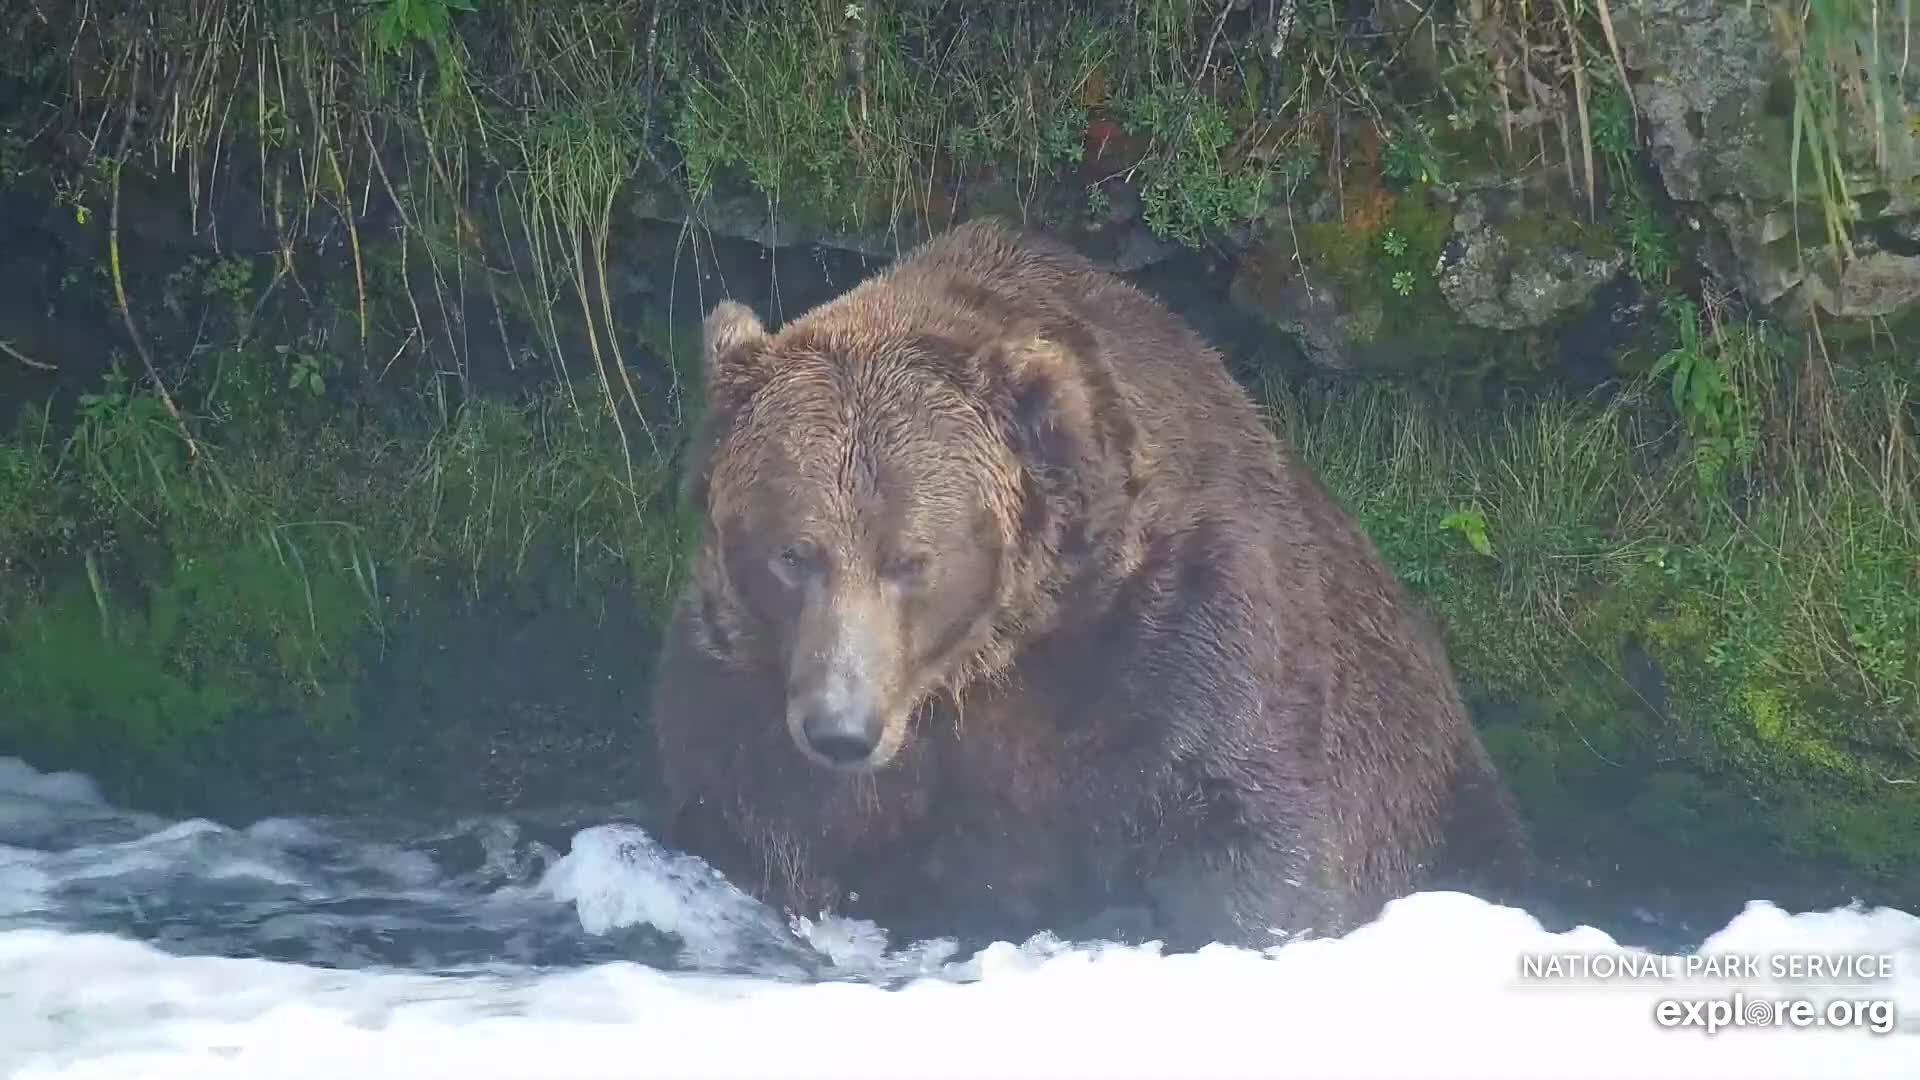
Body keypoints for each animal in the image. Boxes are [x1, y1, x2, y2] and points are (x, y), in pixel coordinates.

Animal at [644, 217, 1533, 952]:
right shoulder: (752, 690)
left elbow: (1250, 830)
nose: (841, 728)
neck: (991, 664)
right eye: (794, 553)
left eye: (912, 558)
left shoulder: (1185, 636)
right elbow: (757, 824)